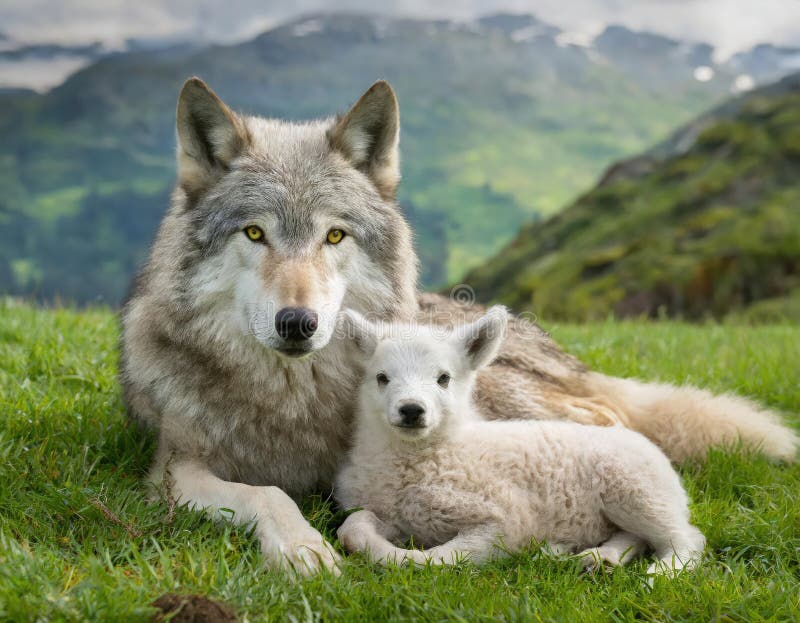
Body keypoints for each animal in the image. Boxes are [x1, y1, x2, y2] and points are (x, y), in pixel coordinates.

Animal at [335, 306, 705, 576]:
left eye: (443, 378)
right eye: (382, 378)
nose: (411, 410)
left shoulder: (503, 519)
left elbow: (441, 558)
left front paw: (398, 559)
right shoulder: (390, 513)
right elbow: (352, 527)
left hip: (635, 491)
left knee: (685, 537)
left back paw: (664, 572)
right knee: (634, 536)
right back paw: (591, 557)